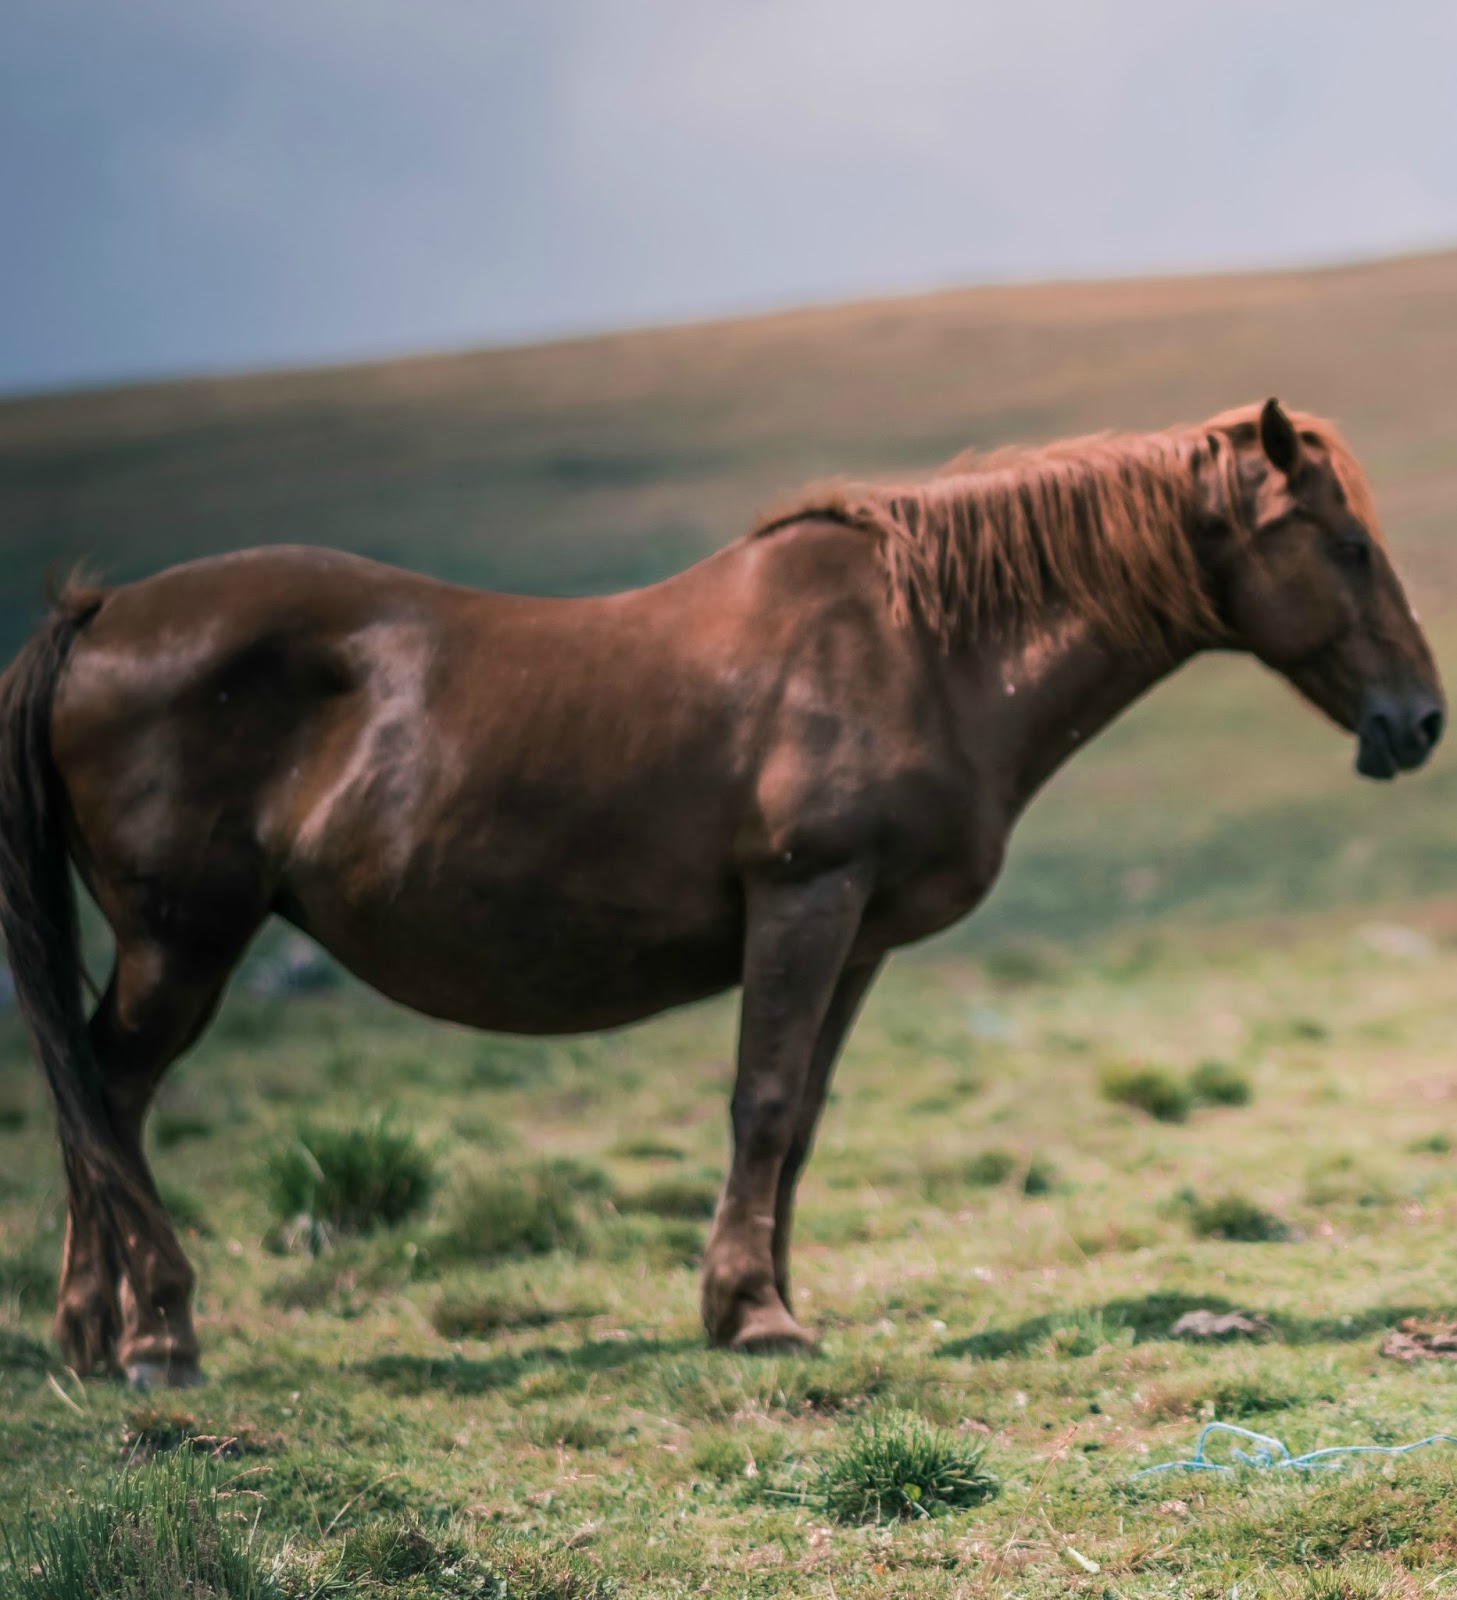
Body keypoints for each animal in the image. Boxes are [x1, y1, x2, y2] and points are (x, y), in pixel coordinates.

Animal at [0, 398, 1442, 1388]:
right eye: (1346, 545)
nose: (1419, 720)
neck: (921, 647)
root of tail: (103, 614)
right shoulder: (804, 901)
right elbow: (760, 1101)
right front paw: (753, 1315)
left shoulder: (857, 938)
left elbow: (798, 1119)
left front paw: (762, 1296)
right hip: (185, 941)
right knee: (110, 1098)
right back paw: (158, 1335)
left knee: (96, 1096)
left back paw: (87, 1335)